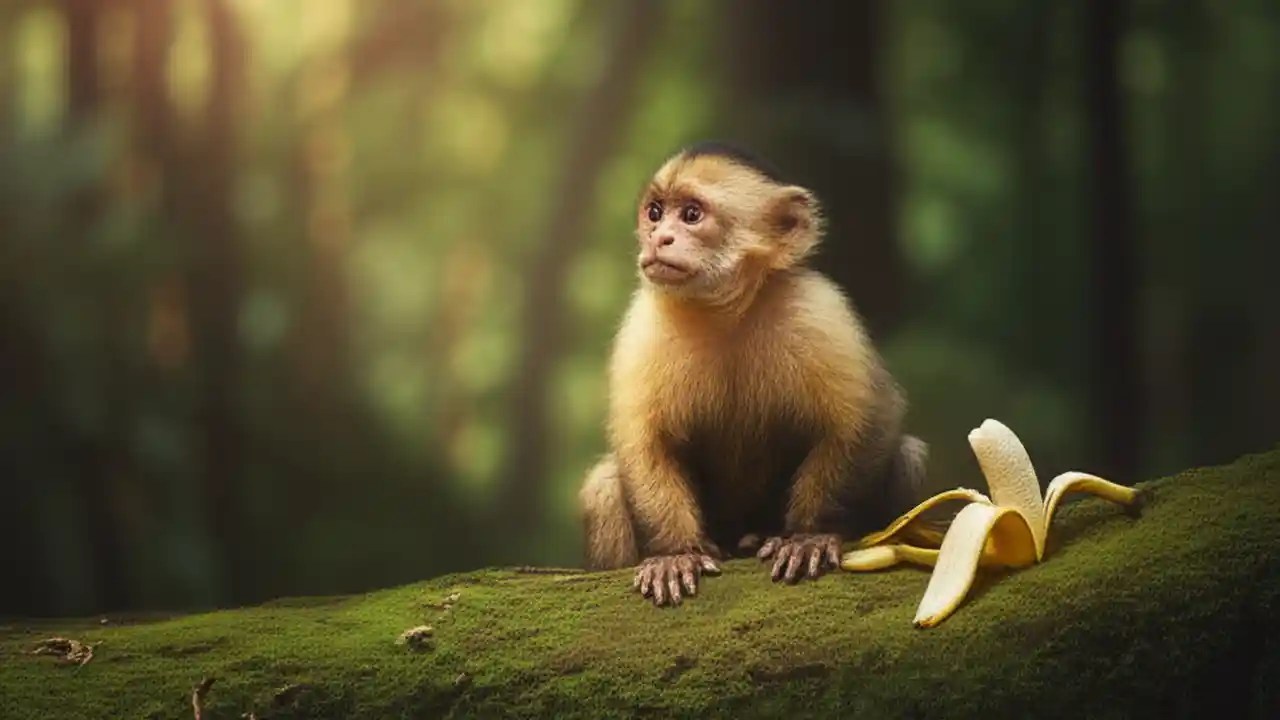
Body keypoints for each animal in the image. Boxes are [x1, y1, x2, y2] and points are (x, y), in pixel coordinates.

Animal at [578, 142, 928, 607]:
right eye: (655, 212)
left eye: (691, 214)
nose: (658, 238)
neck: (726, 311)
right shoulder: (643, 326)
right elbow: (643, 444)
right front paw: (674, 553)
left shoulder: (818, 309)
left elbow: (870, 421)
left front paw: (809, 536)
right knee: (602, 484)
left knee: (908, 455)